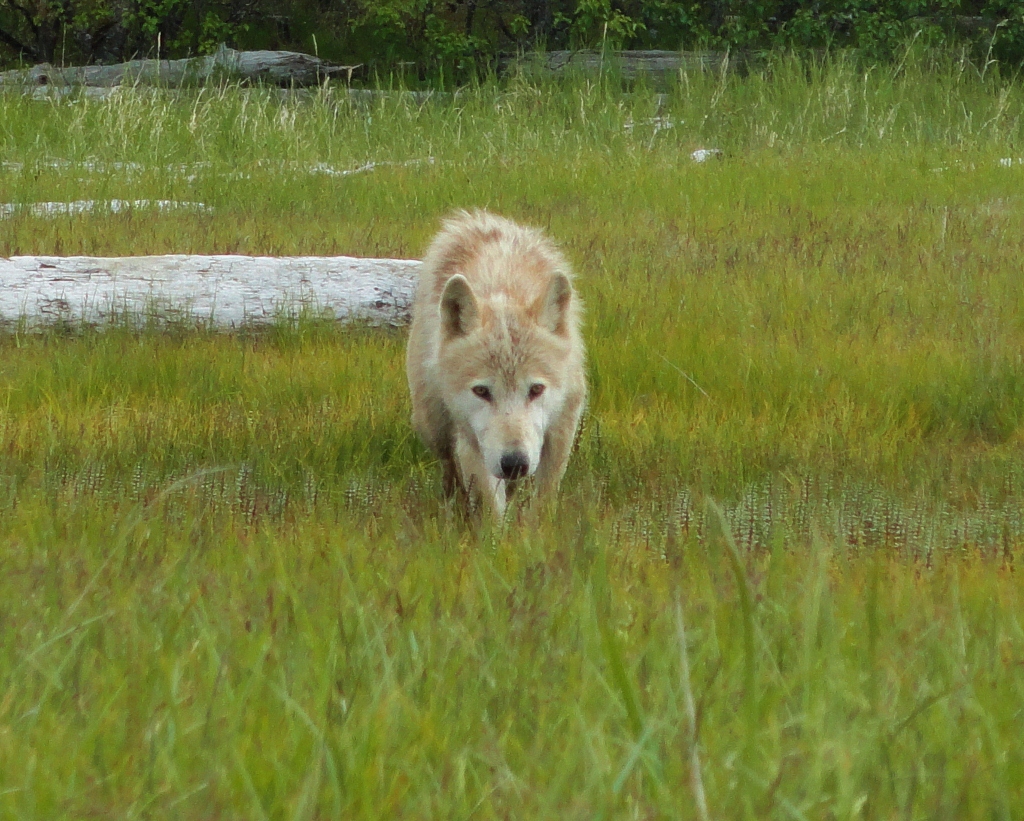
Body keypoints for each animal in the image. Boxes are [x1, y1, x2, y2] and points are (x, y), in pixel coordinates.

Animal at [406, 210, 587, 515]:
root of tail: (478, 218)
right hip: (433, 424)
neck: (505, 291)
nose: (514, 464)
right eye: (481, 391)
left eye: (536, 389)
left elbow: (544, 499)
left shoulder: (563, 425)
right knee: (449, 468)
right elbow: (490, 507)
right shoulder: (470, 441)